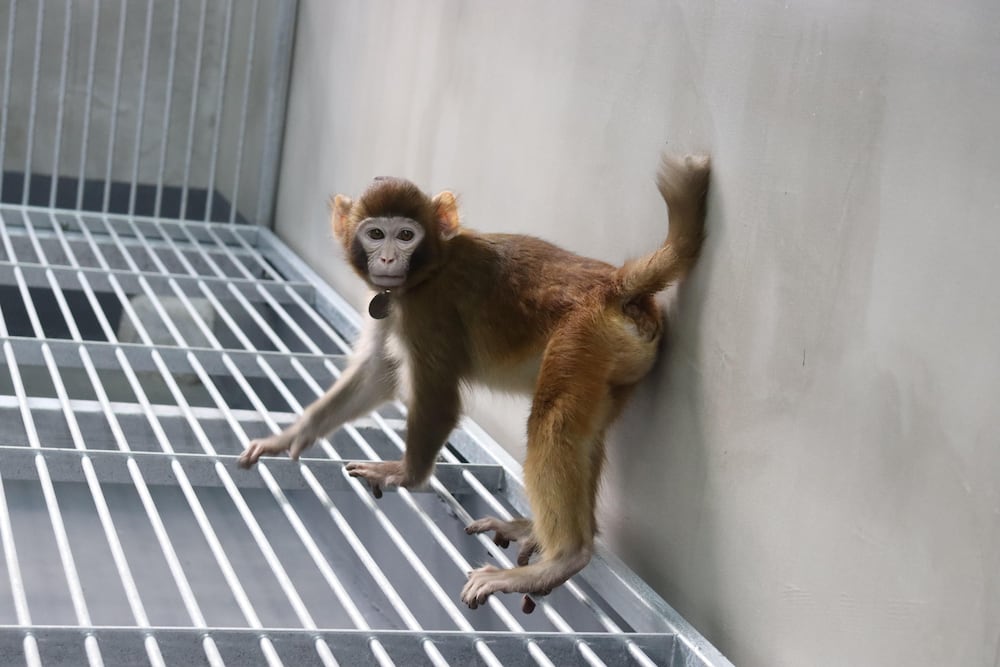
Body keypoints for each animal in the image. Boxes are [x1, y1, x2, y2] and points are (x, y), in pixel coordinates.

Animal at [238, 153, 711, 611]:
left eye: (405, 235)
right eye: (375, 233)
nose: (387, 259)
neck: (430, 268)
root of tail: (614, 286)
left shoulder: (429, 309)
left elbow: (439, 399)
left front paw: (407, 474)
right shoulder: (395, 304)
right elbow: (377, 373)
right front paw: (291, 436)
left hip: (581, 337)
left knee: (552, 424)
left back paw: (562, 558)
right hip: (613, 362)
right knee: (583, 434)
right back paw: (544, 533)